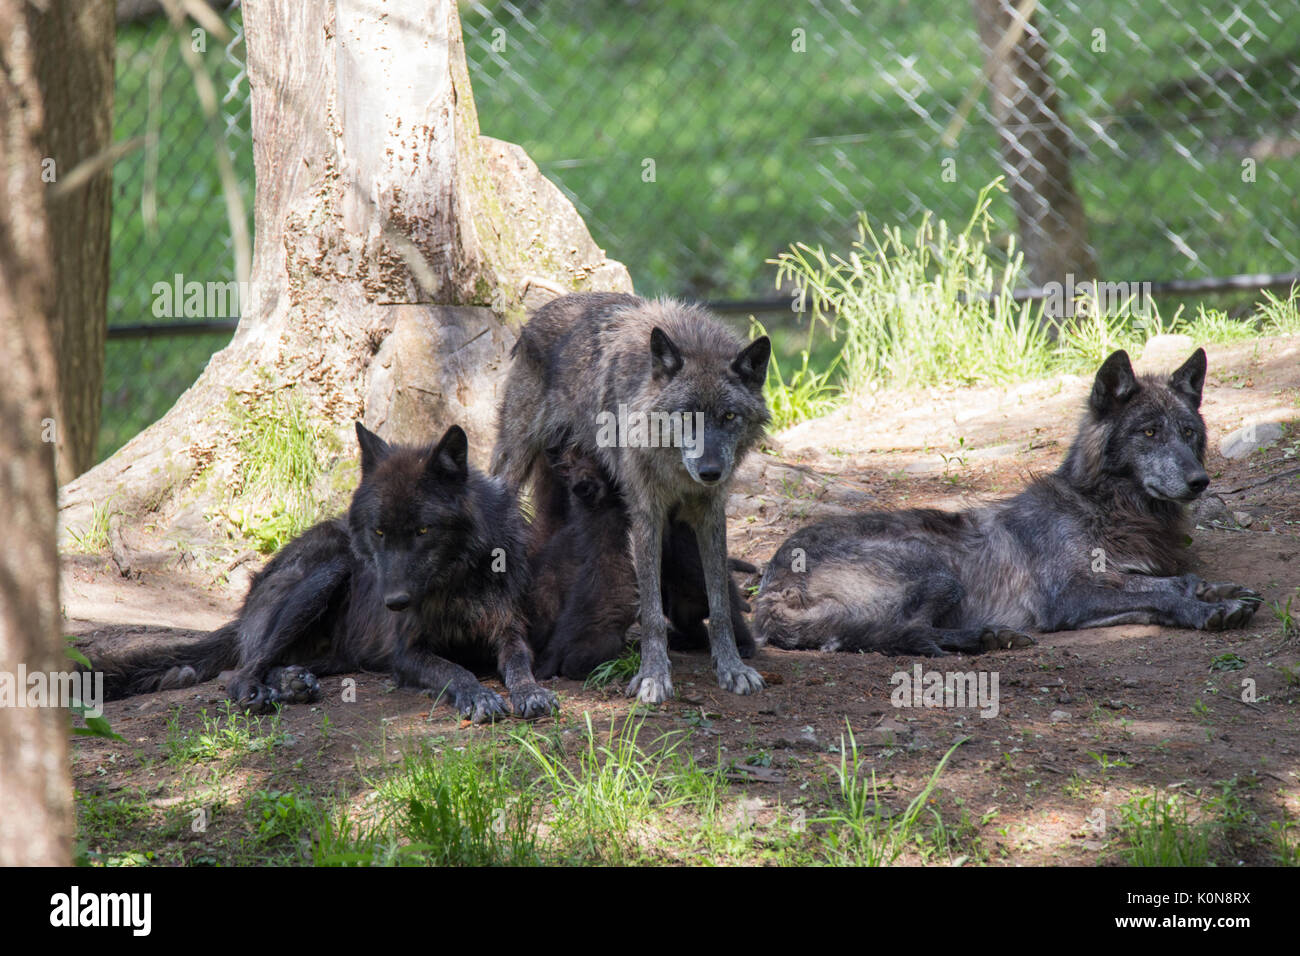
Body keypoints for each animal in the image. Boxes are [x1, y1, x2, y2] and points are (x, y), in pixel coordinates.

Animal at [95, 423, 556, 722]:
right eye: (379, 532)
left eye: (423, 531)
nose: (393, 602)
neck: (453, 583)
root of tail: (243, 609)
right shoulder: (406, 653)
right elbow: (454, 671)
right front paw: (478, 696)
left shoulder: (509, 629)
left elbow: (518, 662)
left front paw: (531, 693)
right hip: (328, 572)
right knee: (239, 671)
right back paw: (263, 691)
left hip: (336, 650)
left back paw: (293, 683)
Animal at [754, 348, 1261, 654]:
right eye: (1150, 432)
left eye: (1188, 432)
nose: (1200, 481)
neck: (1103, 507)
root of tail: (772, 580)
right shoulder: (1069, 596)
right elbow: (1164, 594)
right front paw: (1208, 609)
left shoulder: (1116, 576)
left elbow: (1174, 581)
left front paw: (1216, 590)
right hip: (936, 570)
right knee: (899, 633)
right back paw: (986, 635)